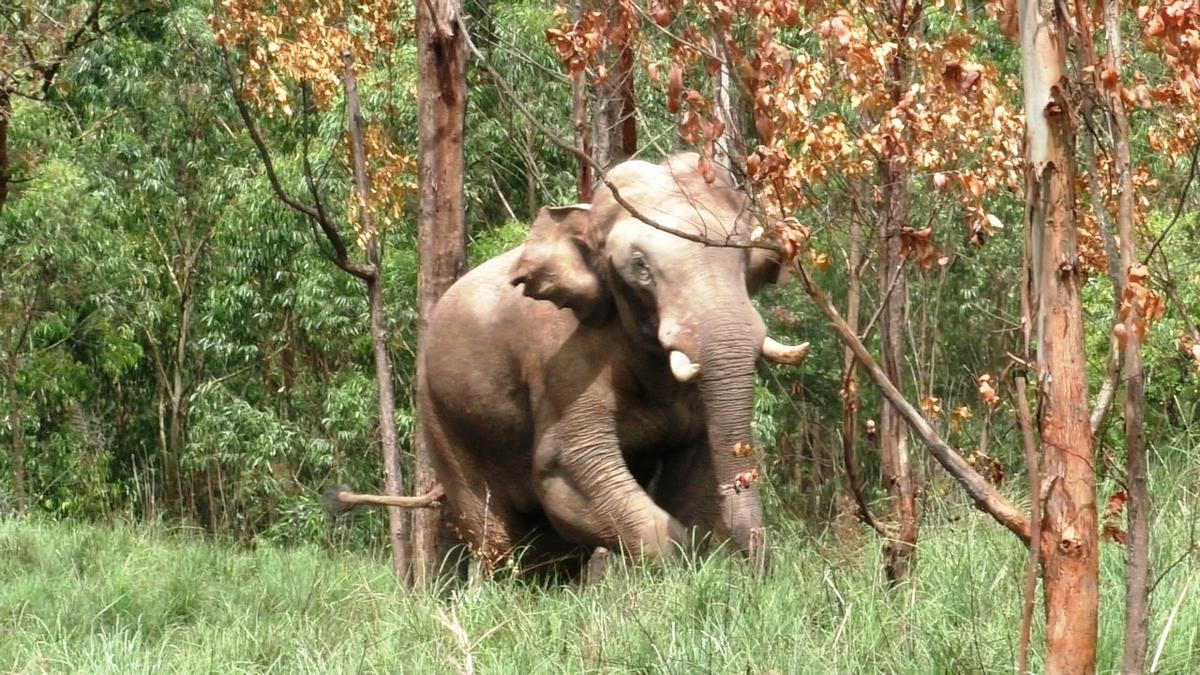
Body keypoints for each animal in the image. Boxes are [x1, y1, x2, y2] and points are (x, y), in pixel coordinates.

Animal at [419, 153, 807, 575]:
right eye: (641, 267)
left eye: (743, 253)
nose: (759, 568)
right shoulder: (563, 363)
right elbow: (564, 466)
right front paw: (677, 567)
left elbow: (695, 463)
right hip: (442, 422)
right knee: (493, 535)